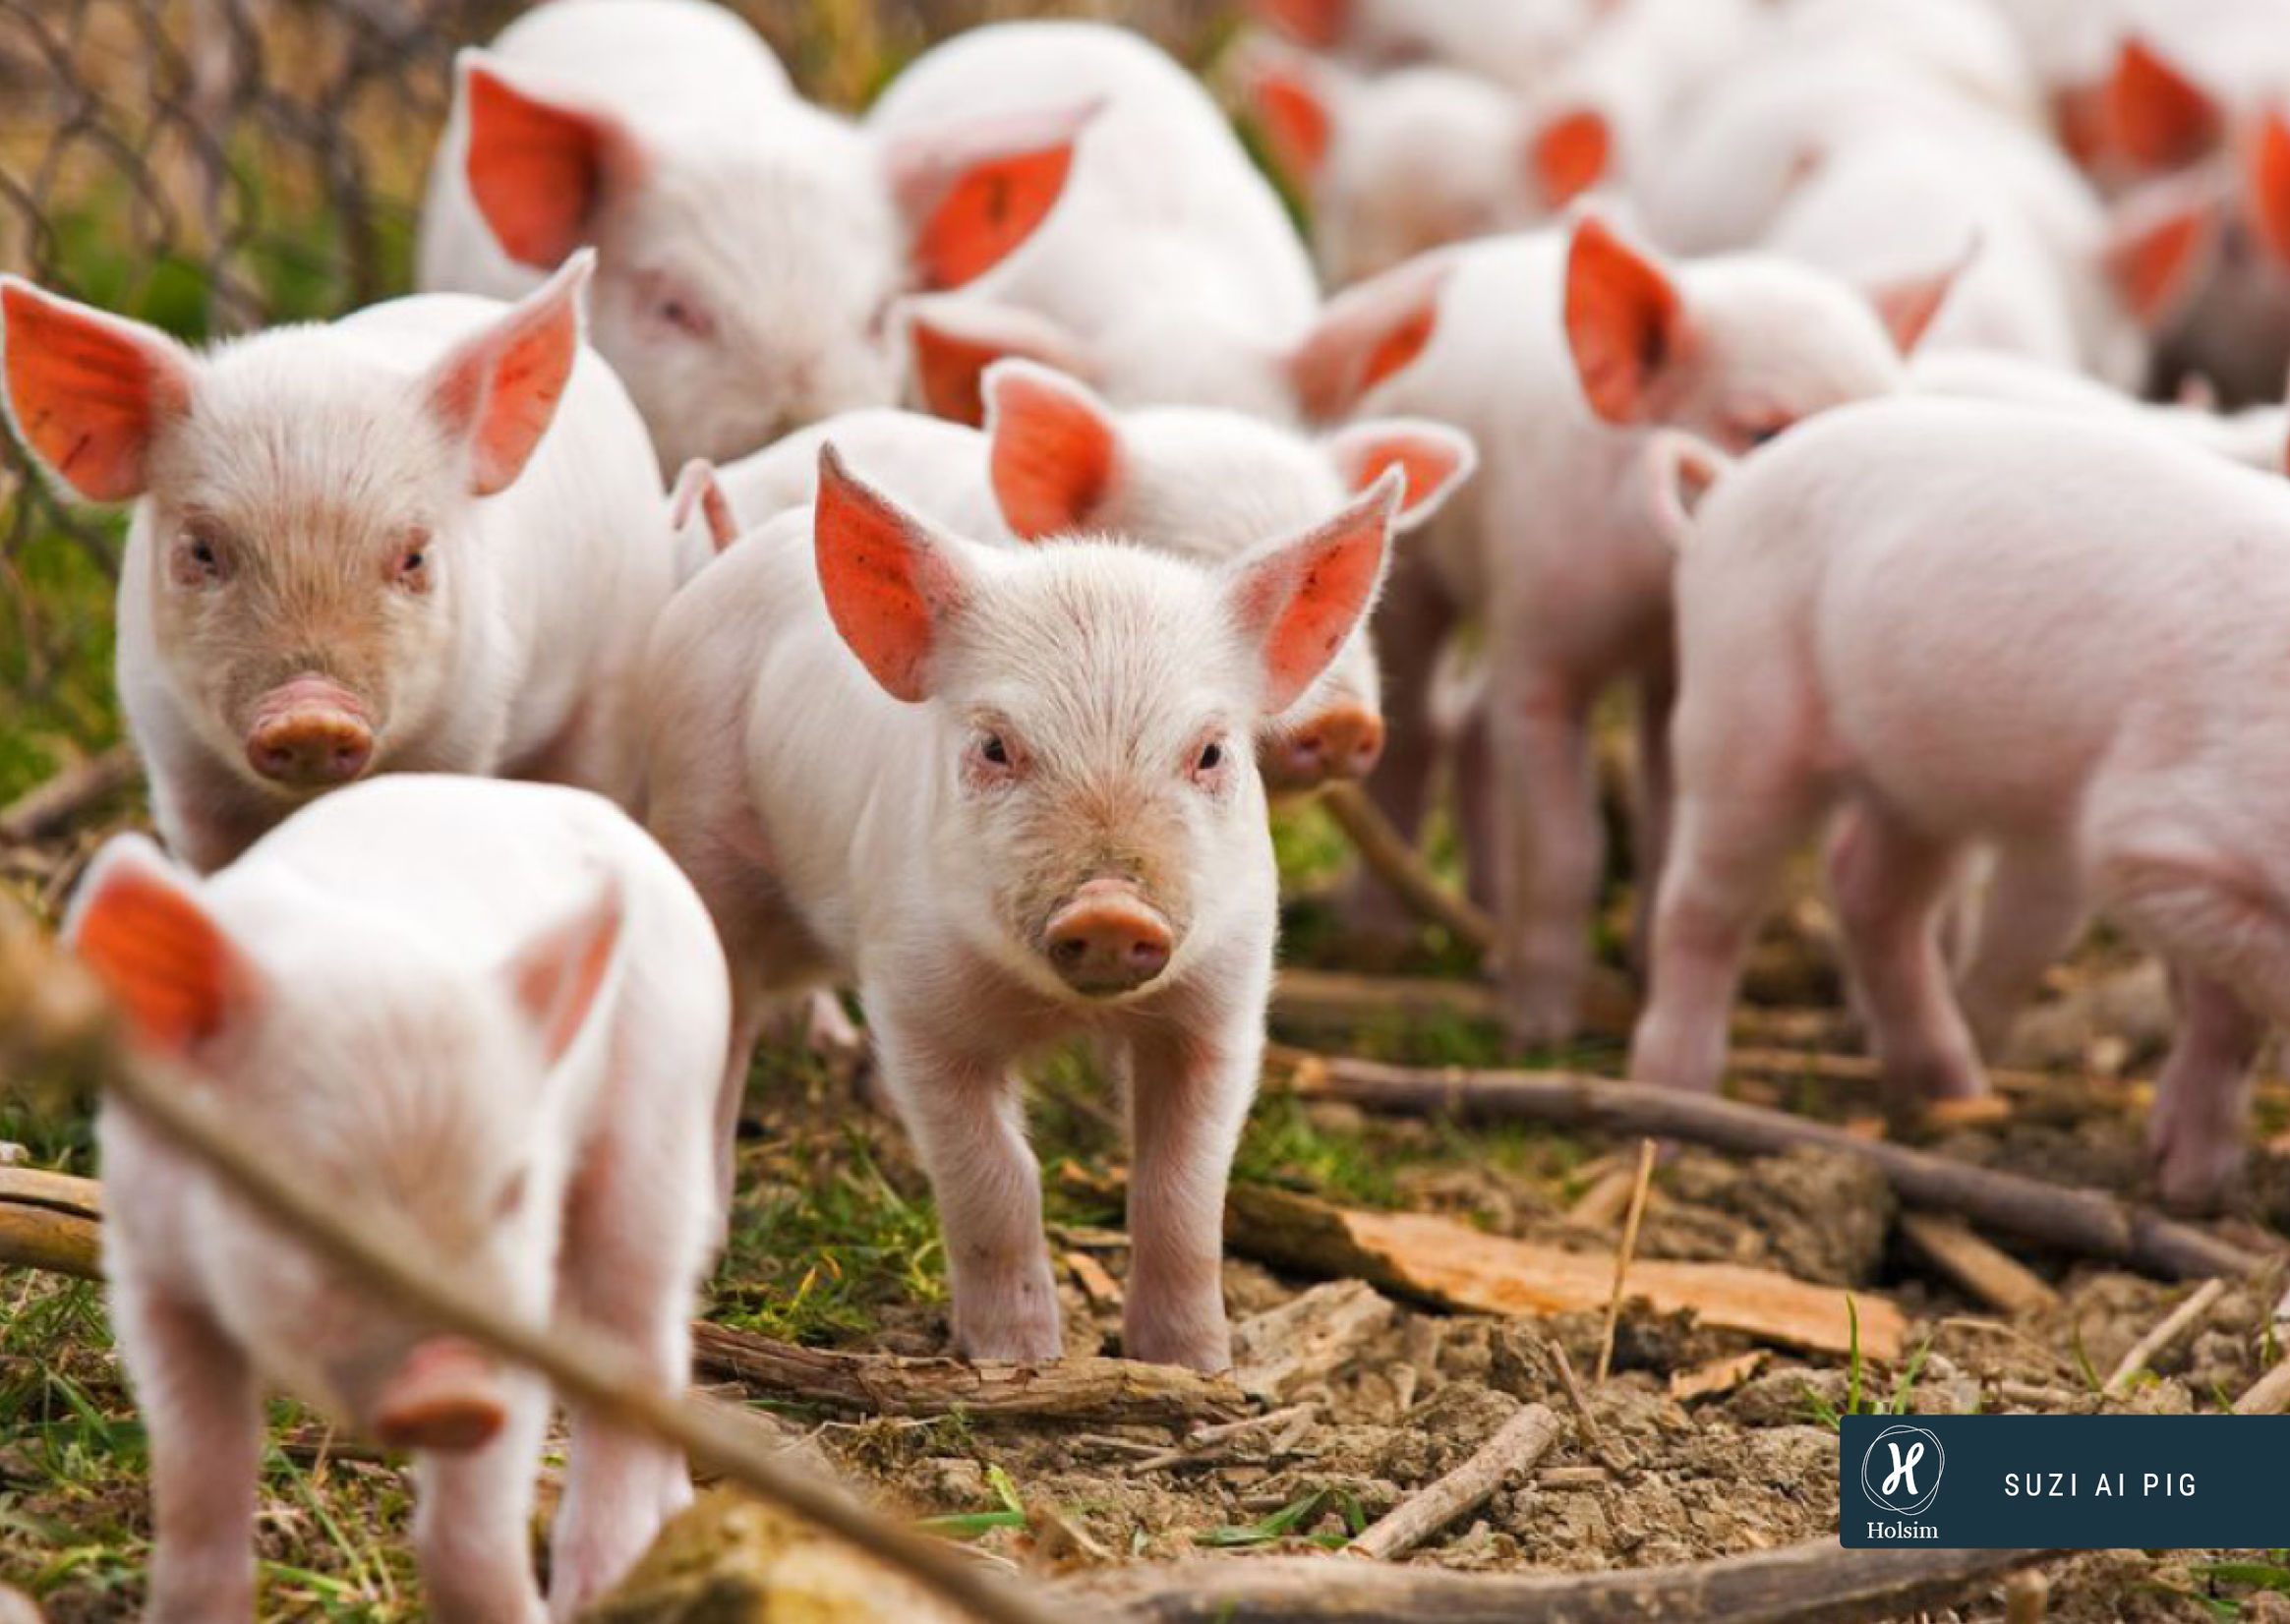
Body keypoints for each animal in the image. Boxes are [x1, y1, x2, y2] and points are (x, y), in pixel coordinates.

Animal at [0, 255, 674, 875]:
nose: (310, 714)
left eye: (414, 556)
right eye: (201, 551)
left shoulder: (472, 716)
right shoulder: (174, 753)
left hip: (618, 667)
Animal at [68, 774, 728, 1623]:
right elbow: (197, 1485)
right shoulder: (150, 1268)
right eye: (309, 1197)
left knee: (639, 1350)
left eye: (511, 1193)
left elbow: (468, 1533)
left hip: (664, 1116)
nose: (451, 1384)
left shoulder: (512, 1302)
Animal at [643, 447, 1404, 1370]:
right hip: (700, 831)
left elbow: (1182, 1184)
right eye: (995, 746)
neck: (1058, 1013)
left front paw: (1192, 1365)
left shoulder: (1224, 999)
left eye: (1210, 752)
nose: (1109, 910)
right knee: (728, 1029)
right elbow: (995, 1180)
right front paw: (1016, 1361)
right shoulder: (915, 998)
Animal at [1336, 216, 1957, 1041]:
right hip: (1415, 576)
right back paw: (1381, 940)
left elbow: (1663, 832)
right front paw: (1541, 1028)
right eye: (1763, 432)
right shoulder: (1541, 636)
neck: (1647, 601)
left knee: (1471, 727)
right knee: (1420, 730)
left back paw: (1488, 930)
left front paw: (1639, 981)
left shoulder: (1672, 675)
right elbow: (1570, 845)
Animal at [1631, 396, 2290, 1211]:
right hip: (1738, 710)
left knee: (1868, 892)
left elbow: (2222, 1011)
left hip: (1915, 781)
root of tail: (1729, 485)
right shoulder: (2153, 831)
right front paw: (2192, 1188)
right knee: (1703, 904)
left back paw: (1953, 1094)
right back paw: (1672, 1106)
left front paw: (2189, 1188)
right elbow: (2238, 990)